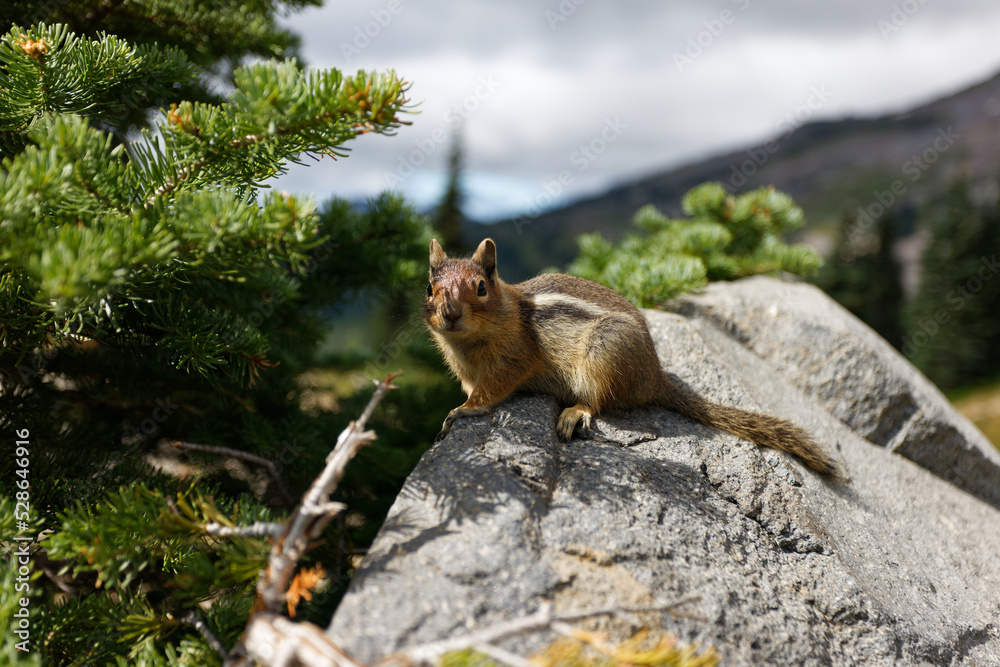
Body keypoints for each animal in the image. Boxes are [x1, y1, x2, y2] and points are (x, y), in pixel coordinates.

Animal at [423, 238, 843, 479]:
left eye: (481, 287)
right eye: (429, 288)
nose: (450, 313)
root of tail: (654, 375)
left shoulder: (514, 358)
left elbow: (492, 390)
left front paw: (462, 410)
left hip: (605, 353)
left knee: (598, 402)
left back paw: (574, 412)